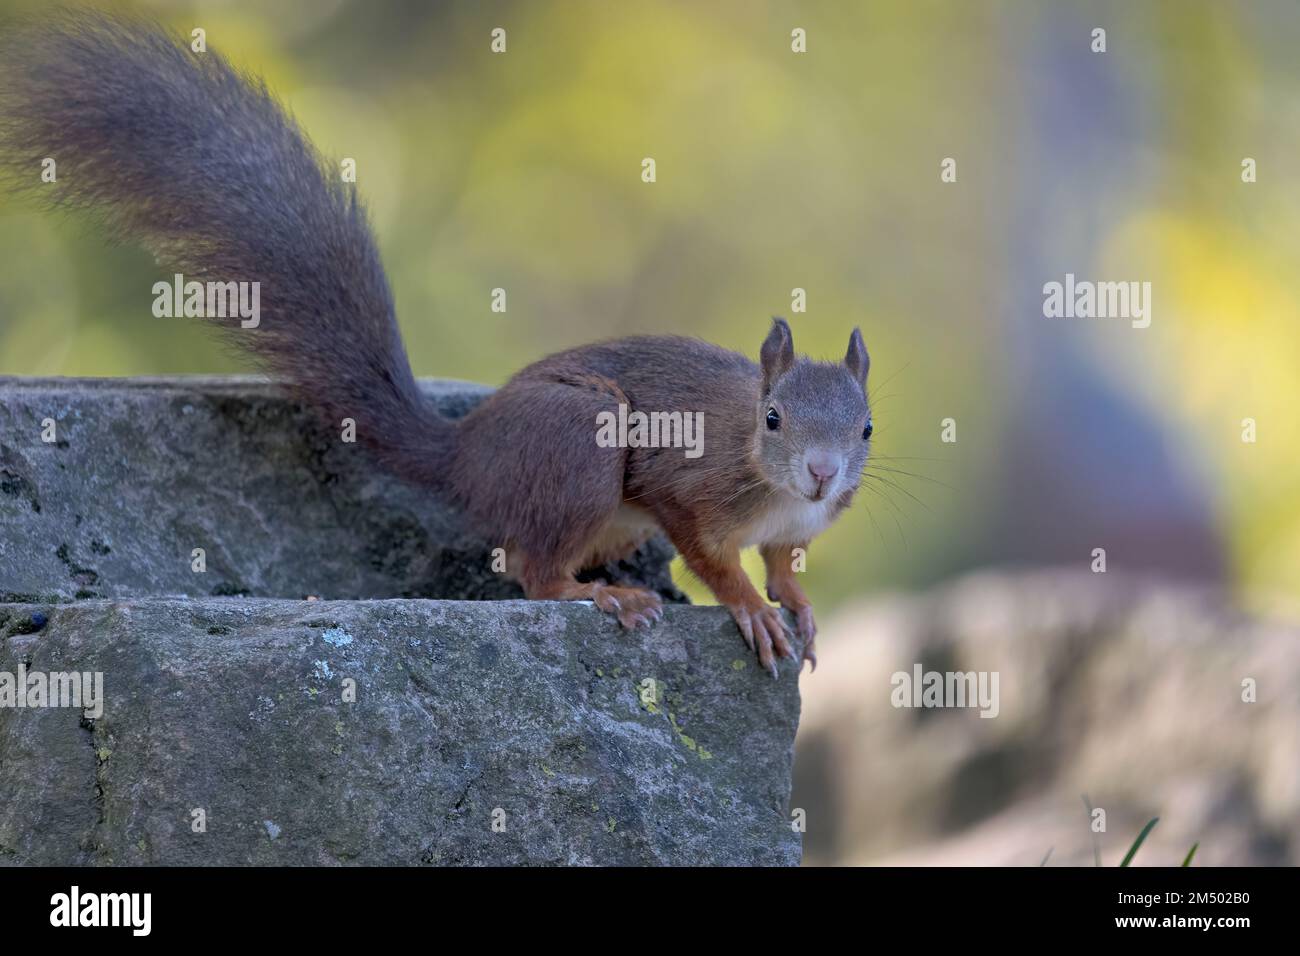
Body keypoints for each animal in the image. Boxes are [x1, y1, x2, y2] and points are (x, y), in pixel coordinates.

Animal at [0, 12, 873, 676]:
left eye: (866, 428)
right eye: (771, 418)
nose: (823, 475)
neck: (778, 492)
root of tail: (466, 454)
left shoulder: (797, 528)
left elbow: (784, 560)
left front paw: (798, 605)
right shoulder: (689, 487)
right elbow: (713, 557)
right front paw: (753, 609)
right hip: (577, 441)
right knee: (533, 573)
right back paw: (595, 594)